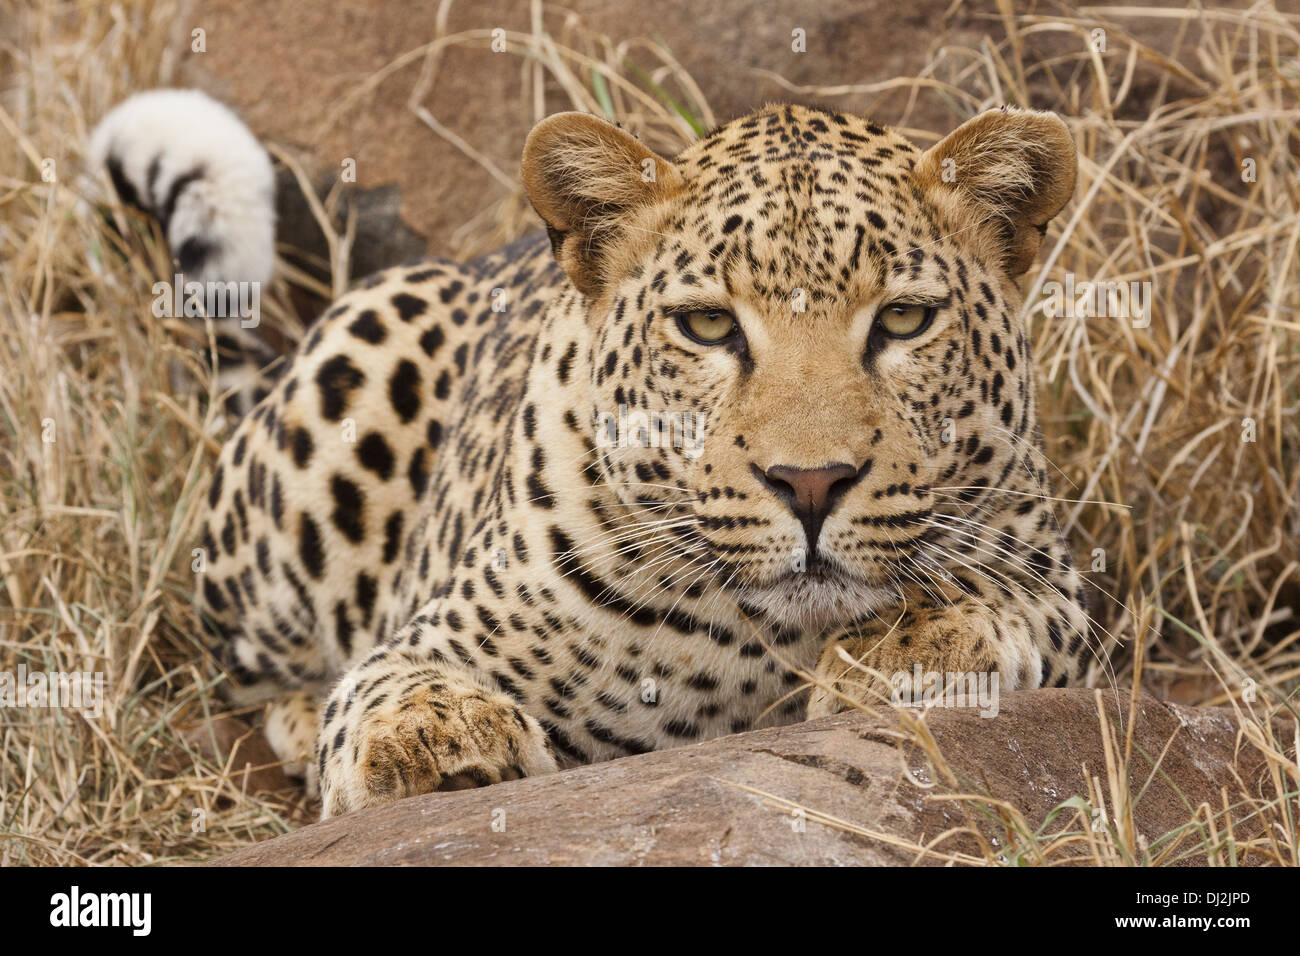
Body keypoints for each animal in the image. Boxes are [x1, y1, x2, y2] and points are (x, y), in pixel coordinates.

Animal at [186, 102, 1094, 818]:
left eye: (904, 319)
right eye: (707, 326)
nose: (810, 485)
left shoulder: (1061, 593)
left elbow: (999, 607)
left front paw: (910, 654)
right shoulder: (436, 631)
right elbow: (385, 685)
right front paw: (437, 741)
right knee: (245, 666)